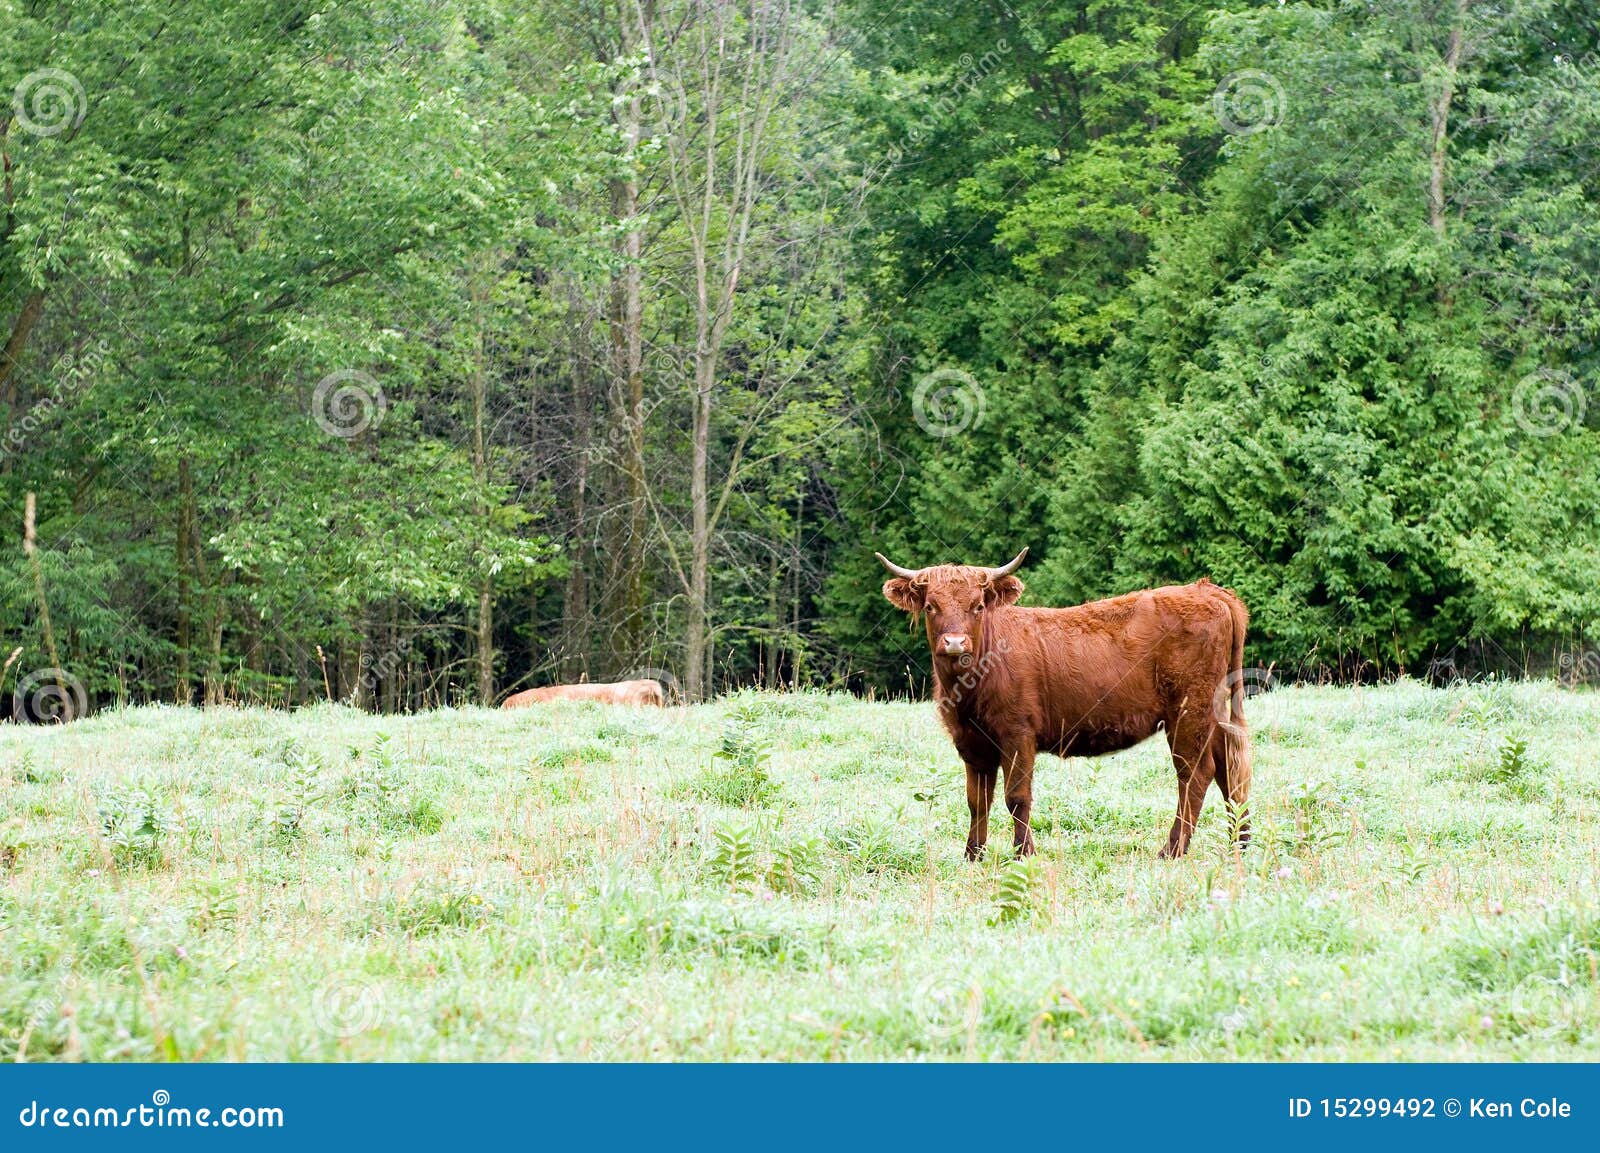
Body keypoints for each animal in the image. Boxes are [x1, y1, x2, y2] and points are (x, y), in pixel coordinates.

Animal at [877, 548, 1251, 859]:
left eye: (977, 606)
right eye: (931, 606)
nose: (955, 642)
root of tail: (1207, 591)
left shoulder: (1017, 733)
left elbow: (1016, 797)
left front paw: (1023, 853)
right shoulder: (972, 741)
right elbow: (977, 800)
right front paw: (973, 855)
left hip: (1189, 712)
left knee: (1195, 774)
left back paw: (1172, 849)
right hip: (1212, 712)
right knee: (1228, 768)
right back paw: (1240, 841)